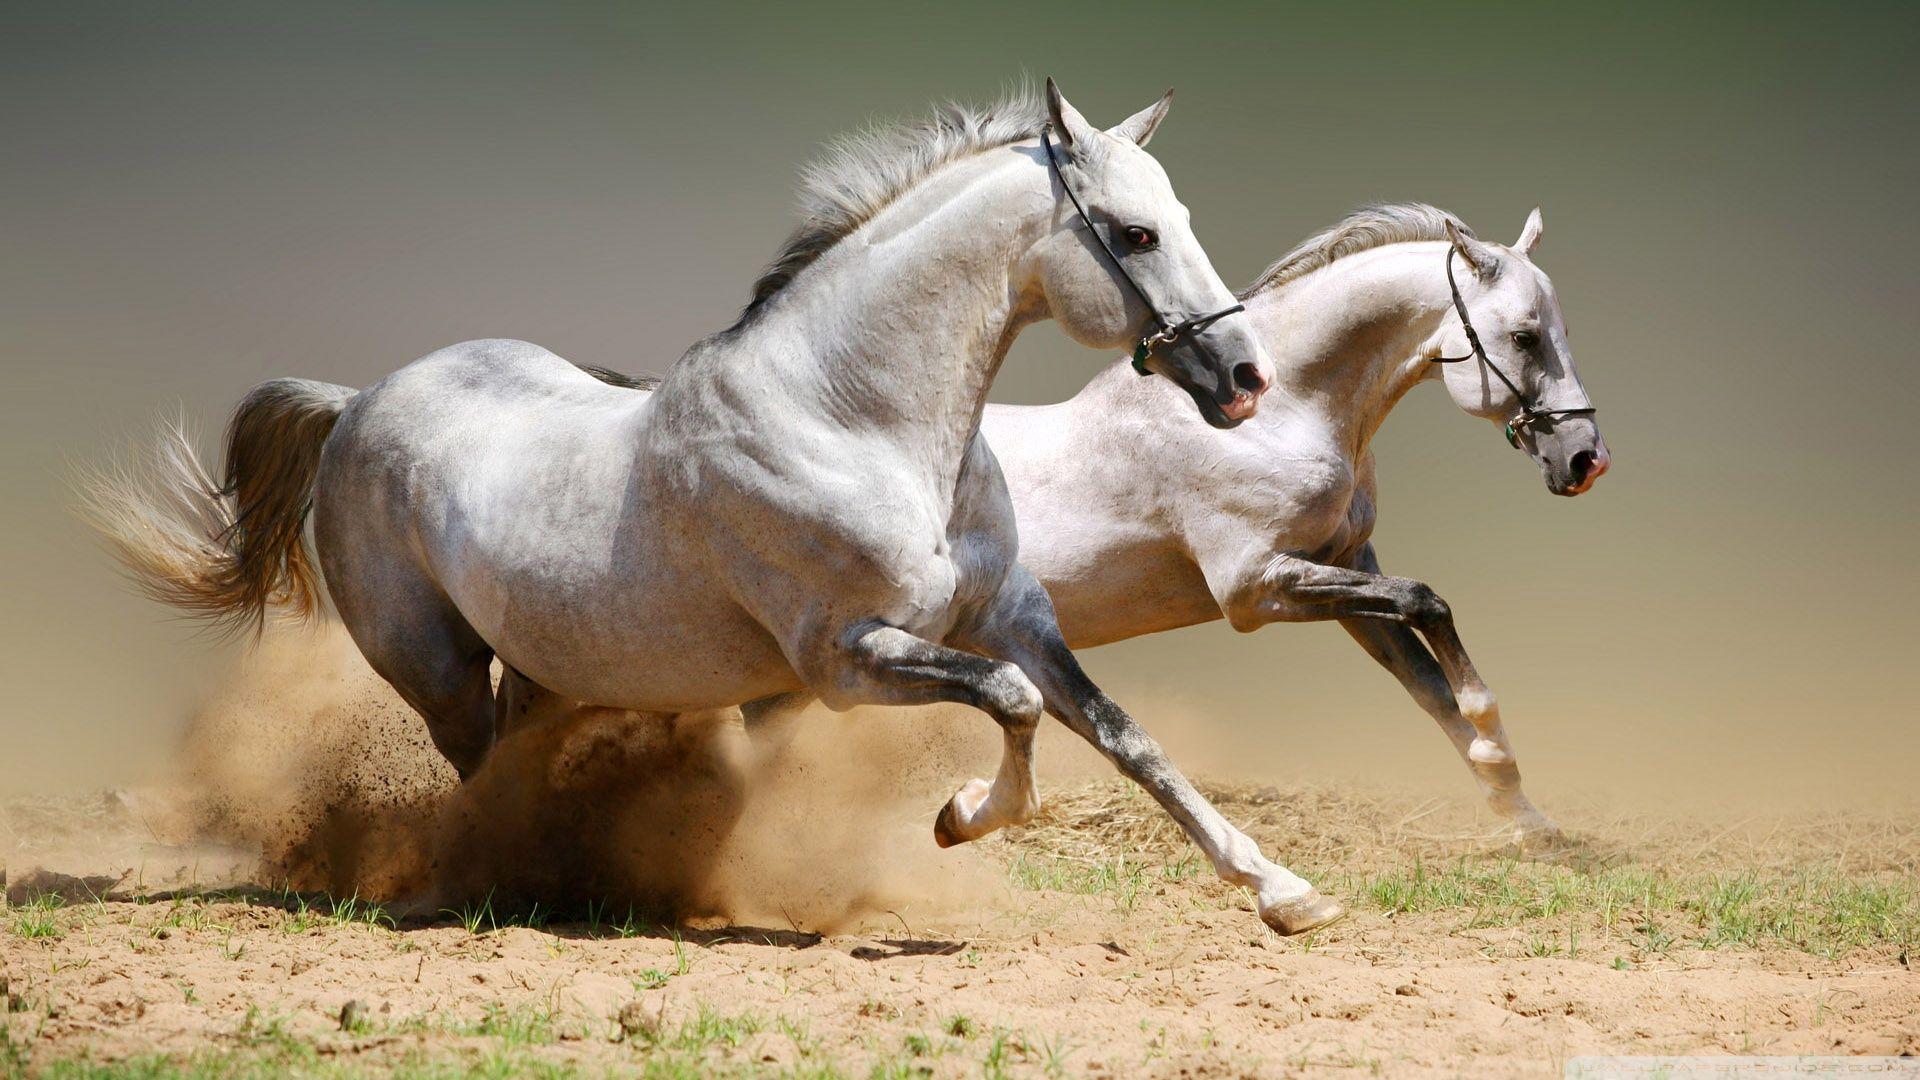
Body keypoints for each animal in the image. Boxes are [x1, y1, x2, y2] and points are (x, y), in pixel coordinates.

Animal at [86, 82, 1353, 935]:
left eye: (1177, 214)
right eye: (1135, 233)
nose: (1244, 377)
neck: (856, 420)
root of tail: (356, 403)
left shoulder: (1012, 617)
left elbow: (1124, 736)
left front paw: (1285, 892)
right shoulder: (846, 659)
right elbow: (1013, 707)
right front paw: (957, 817)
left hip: (543, 662)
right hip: (433, 666)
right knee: (476, 771)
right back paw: (495, 882)